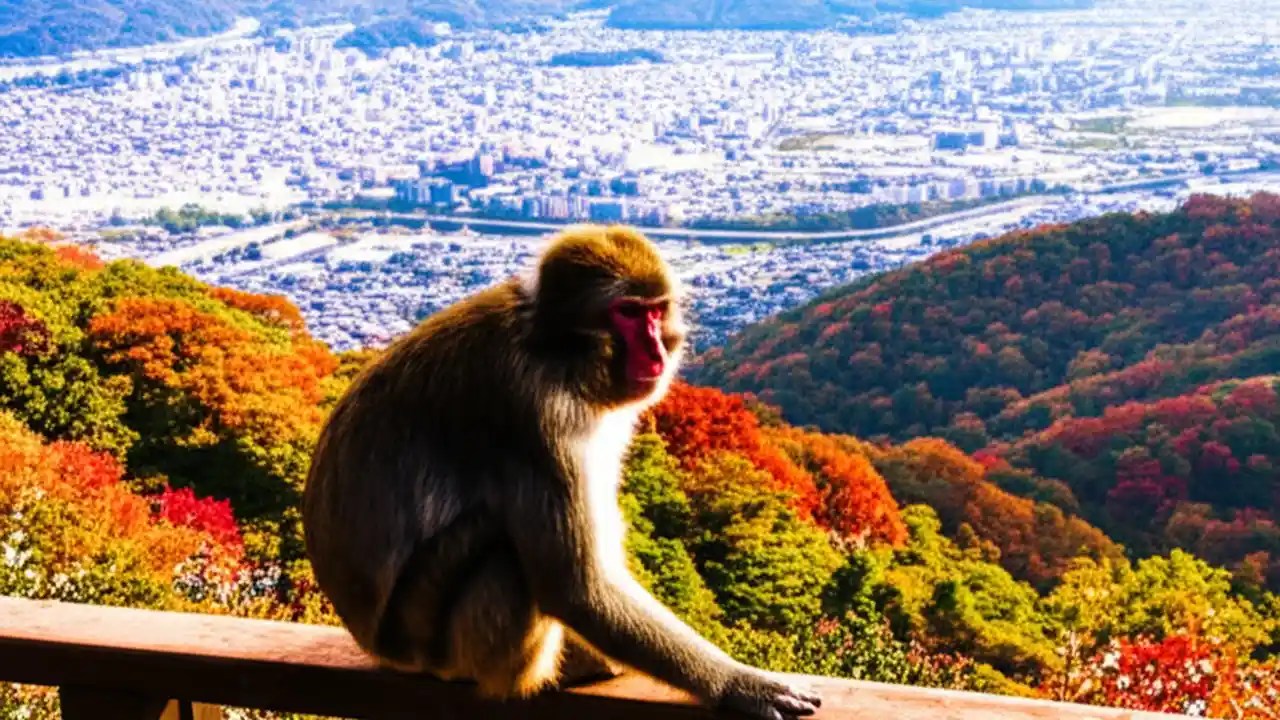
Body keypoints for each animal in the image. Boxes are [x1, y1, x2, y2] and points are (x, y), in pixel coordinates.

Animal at [302, 224, 822, 720]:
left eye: (655, 312)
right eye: (627, 313)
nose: (656, 351)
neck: (552, 348)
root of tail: (376, 646)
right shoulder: (539, 415)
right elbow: (575, 587)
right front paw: (738, 683)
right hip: (430, 642)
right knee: (502, 550)